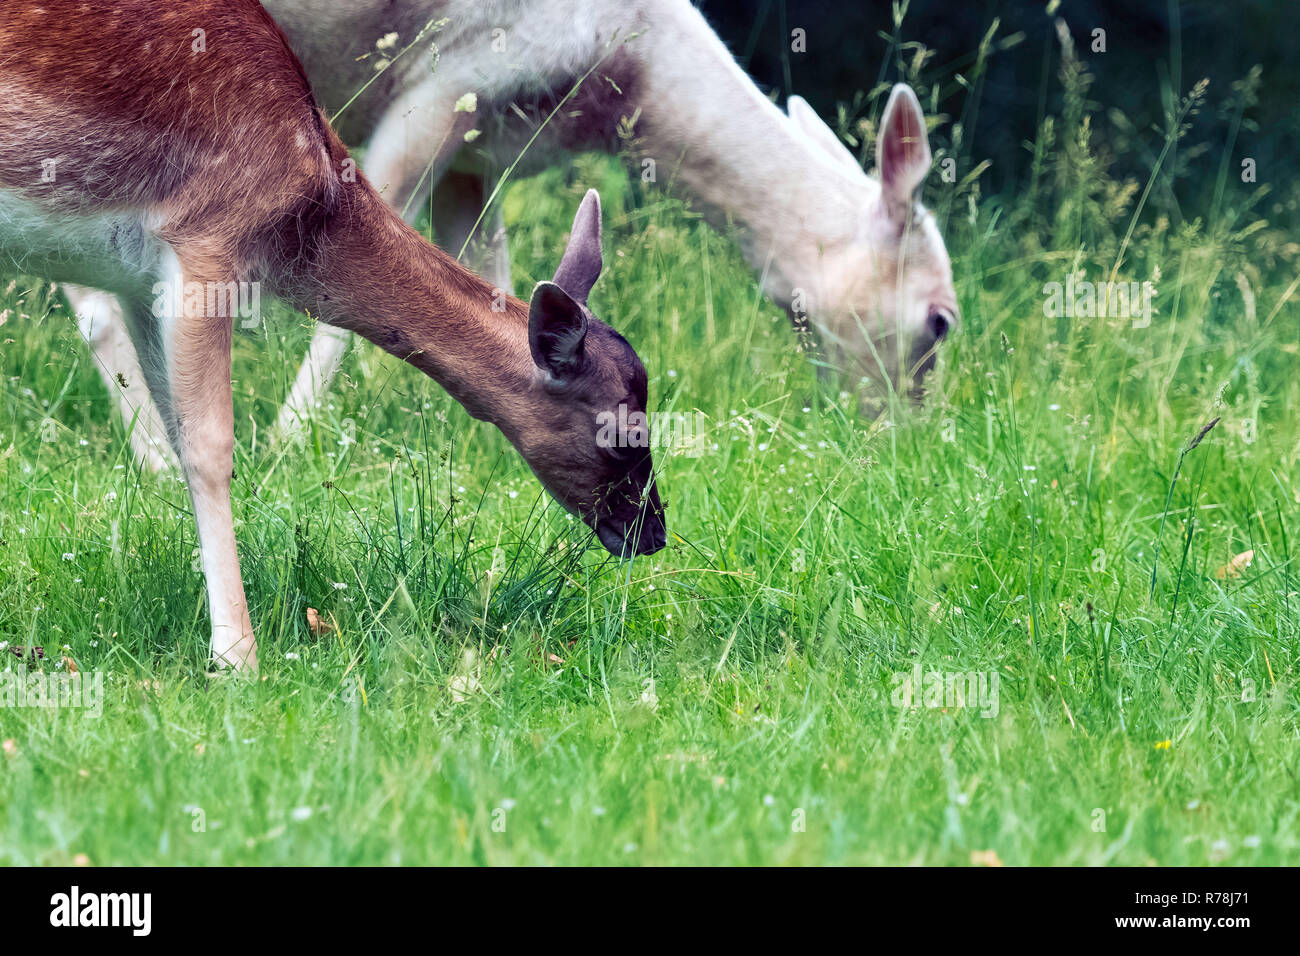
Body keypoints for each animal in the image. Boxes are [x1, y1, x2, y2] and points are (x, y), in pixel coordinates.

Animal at [0, 0, 666, 671]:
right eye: (620, 433)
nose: (654, 532)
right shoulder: (205, 240)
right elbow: (210, 447)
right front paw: (238, 656)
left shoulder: (137, 282)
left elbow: (173, 432)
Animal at [63, 0, 959, 473]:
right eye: (939, 322)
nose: (906, 445)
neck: (621, 75)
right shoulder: (445, 77)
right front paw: (290, 440)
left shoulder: (483, 151)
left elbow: (495, 276)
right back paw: (154, 458)